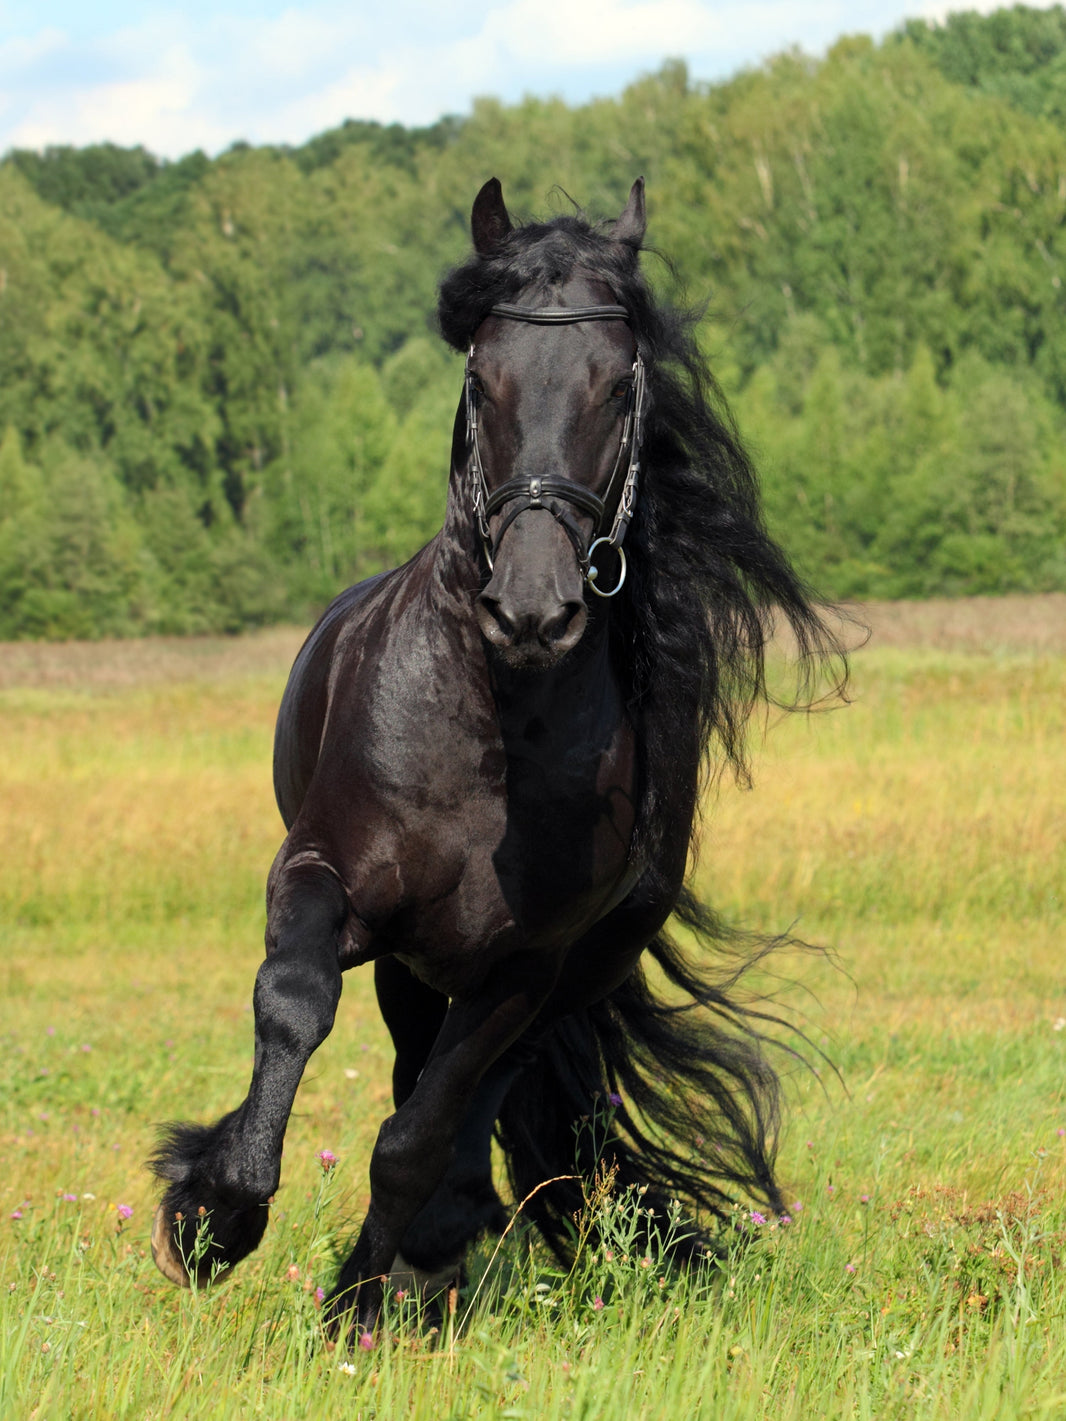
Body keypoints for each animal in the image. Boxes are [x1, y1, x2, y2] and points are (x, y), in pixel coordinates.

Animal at [150, 177, 842, 1341]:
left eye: (620, 383)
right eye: (482, 377)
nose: (530, 609)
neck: (493, 737)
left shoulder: (523, 966)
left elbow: (418, 1134)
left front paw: (357, 1303)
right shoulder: (324, 880)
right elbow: (291, 999)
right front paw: (215, 1211)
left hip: (545, 974)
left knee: (464, 1092)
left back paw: (438, 1244)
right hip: (408, 960)